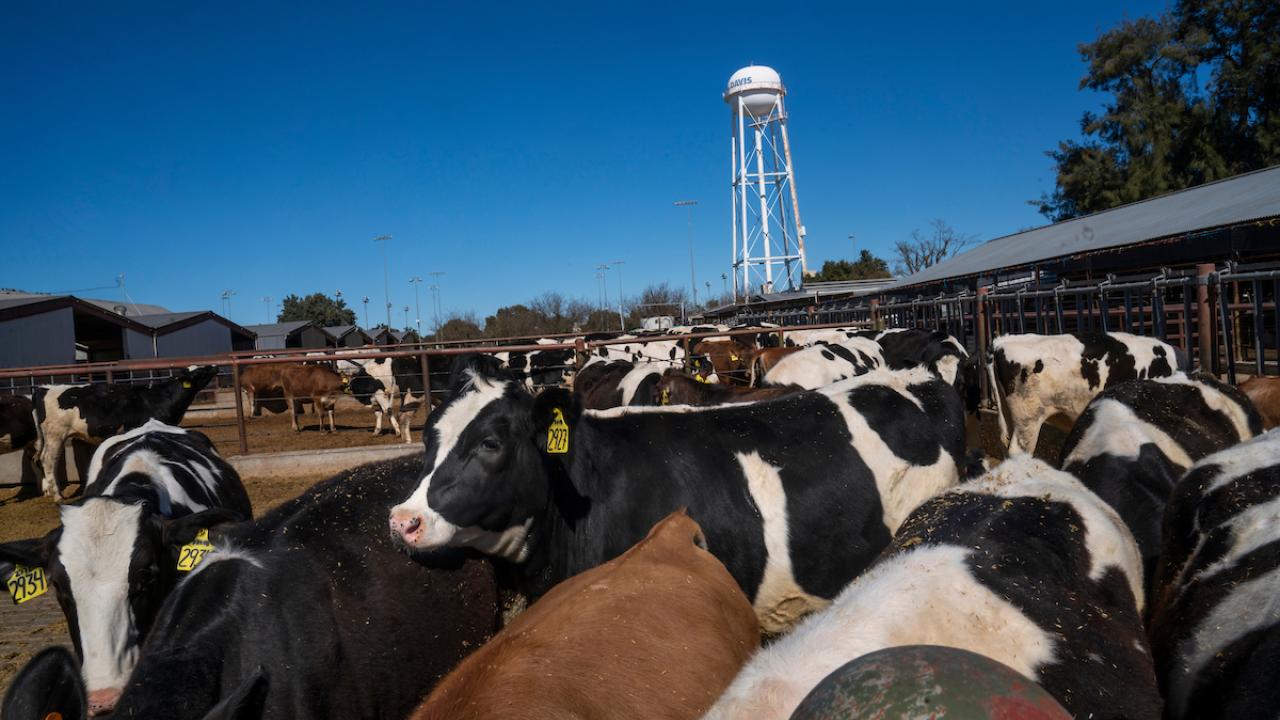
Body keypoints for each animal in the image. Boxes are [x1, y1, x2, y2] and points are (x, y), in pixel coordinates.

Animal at [34, 365, 219, 500]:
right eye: (200, 372)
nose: (214, 366)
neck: (158, 398)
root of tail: (45, 389)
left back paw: (47, 490)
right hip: (55, 434)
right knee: (48, 460)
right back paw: (57, 495)